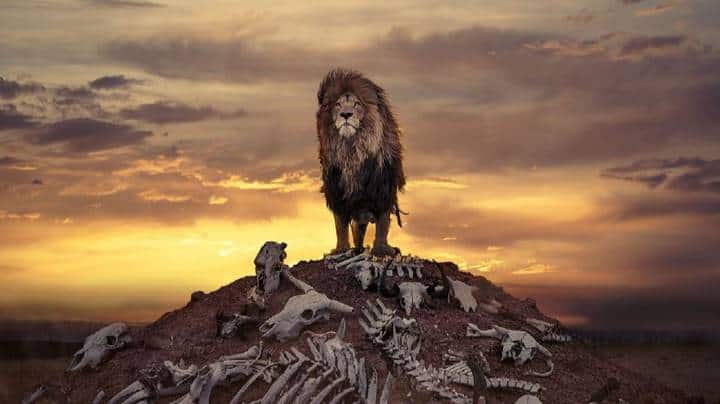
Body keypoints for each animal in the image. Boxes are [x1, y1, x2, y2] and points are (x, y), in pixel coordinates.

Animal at [316, 68, 406, 256]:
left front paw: (382, 249)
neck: (352, 150)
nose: (346, 114)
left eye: (357, 104)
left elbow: (383, 223)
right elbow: (340, 225)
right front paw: (341, 249)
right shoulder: (337, 192)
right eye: (338, 105)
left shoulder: (383, 190)